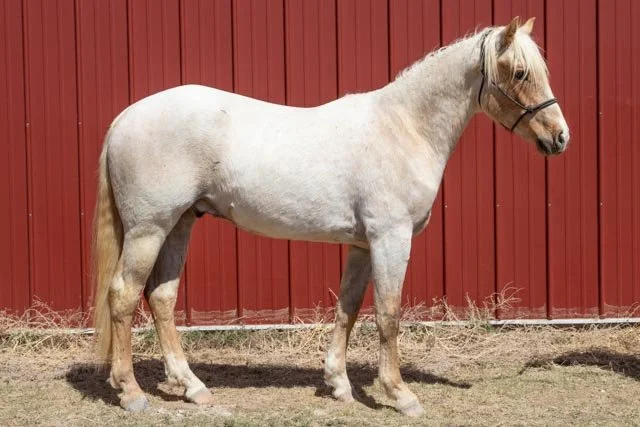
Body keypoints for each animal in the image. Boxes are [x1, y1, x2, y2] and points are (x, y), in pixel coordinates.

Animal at [92, 17, 569, 416]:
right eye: (520, 73)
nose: (560, 137)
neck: (404, 128)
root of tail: (125, 118)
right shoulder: (390, 238)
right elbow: (388, 314)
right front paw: (400, 395)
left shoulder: (361, 244)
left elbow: (348, 308)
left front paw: (338, 384)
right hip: (149, 229)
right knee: (124, 295)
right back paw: (131, 392)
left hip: (180, 224)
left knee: (161, 298)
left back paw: (193, 387)